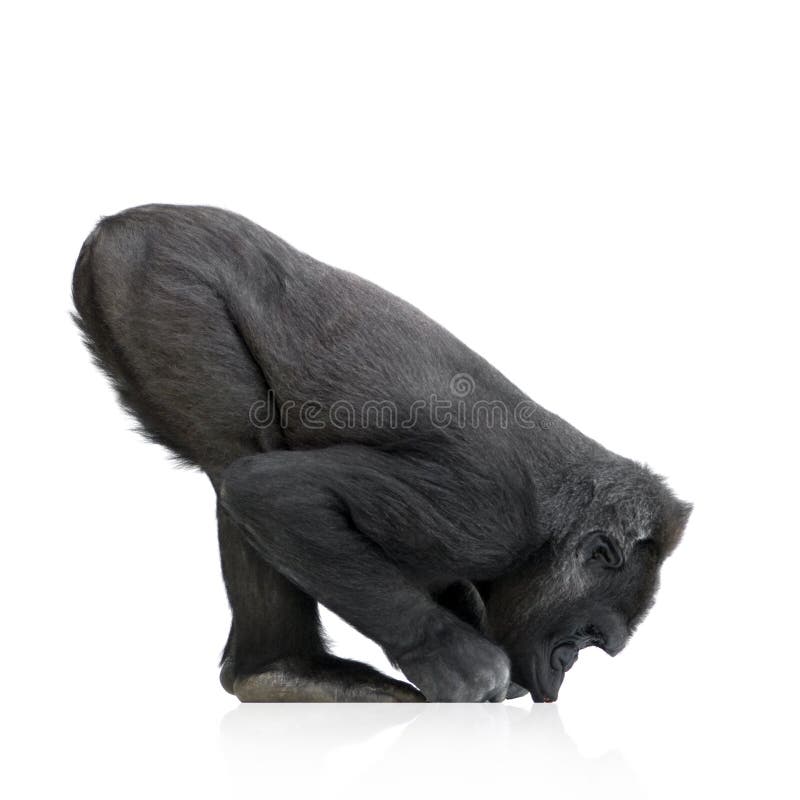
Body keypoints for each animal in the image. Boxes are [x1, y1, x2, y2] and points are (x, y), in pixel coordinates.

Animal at [72, 204, 691, 703]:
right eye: (587, 636)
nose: (562, 673)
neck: (548, 532)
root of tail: (117, 224)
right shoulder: (487, 513)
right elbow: (275, 493)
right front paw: (456, 662)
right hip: (158, 278)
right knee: (236, 459)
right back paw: (280, 670)